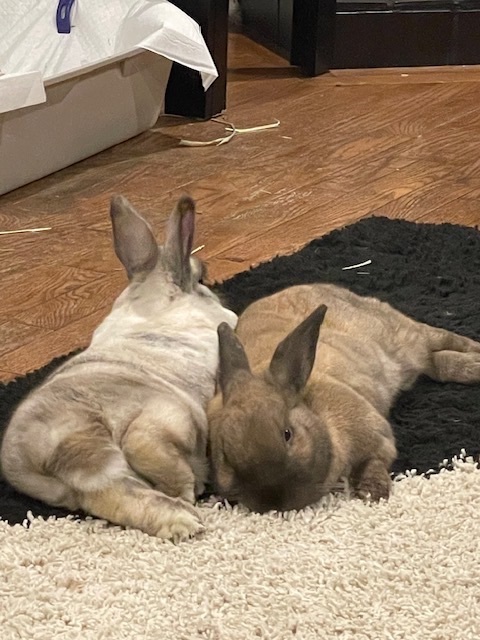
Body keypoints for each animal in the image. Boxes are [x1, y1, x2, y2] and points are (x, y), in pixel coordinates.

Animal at [1, 195, 237, 541]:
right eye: (202, 277)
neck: (151, 302)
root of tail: (61, 449)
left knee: (111, 495)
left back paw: (177, 519)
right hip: (171, 414)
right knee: (143, 451)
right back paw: (186, 512)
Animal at [208, 283, 480, 513]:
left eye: (288, 434)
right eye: (224, 454)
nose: (273, 502)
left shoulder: (376, 435)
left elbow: (377, 459)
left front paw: (372, 494)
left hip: (406, 335)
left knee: (445, 340)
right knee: (439, 363)